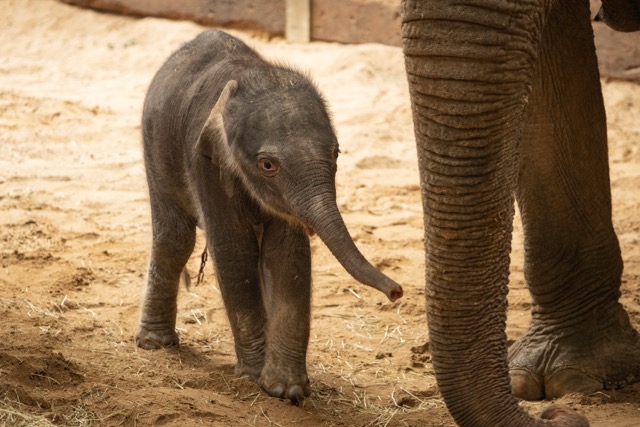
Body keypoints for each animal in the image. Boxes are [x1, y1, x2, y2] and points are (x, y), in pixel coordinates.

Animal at [136, 30, 402, 403]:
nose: (396, 292)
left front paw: (285, 388)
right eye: (267, 164)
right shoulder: (206, 162)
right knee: (176, 237)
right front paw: (254, 377)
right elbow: (235, 251)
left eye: (337, 152)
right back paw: (155, 343)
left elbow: (286, 255)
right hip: (156, 141)